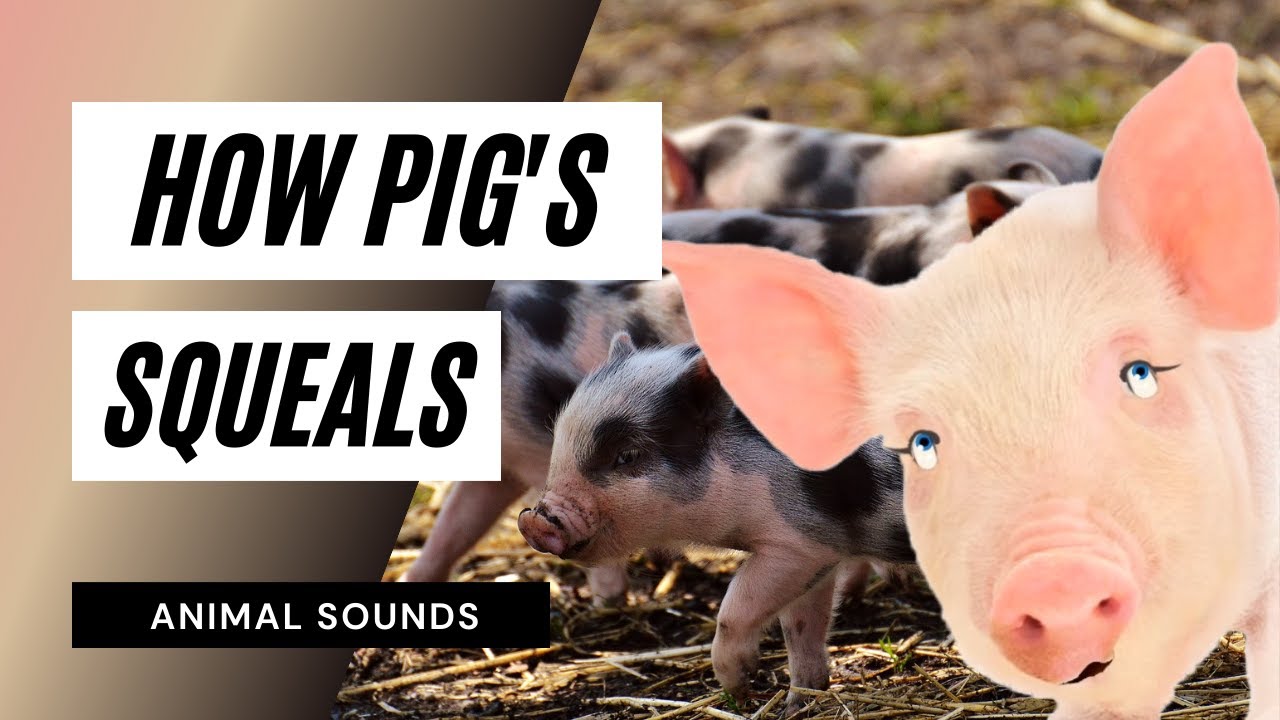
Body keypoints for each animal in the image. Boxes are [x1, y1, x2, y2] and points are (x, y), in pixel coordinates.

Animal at [518, 335, 915, 713]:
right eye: (558, 439)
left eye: (627, 455)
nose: (535, 520)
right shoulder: (825, 550)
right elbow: (801, 626)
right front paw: (797, 704)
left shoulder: (797, 544)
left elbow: (736, 608)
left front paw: (741, 690)